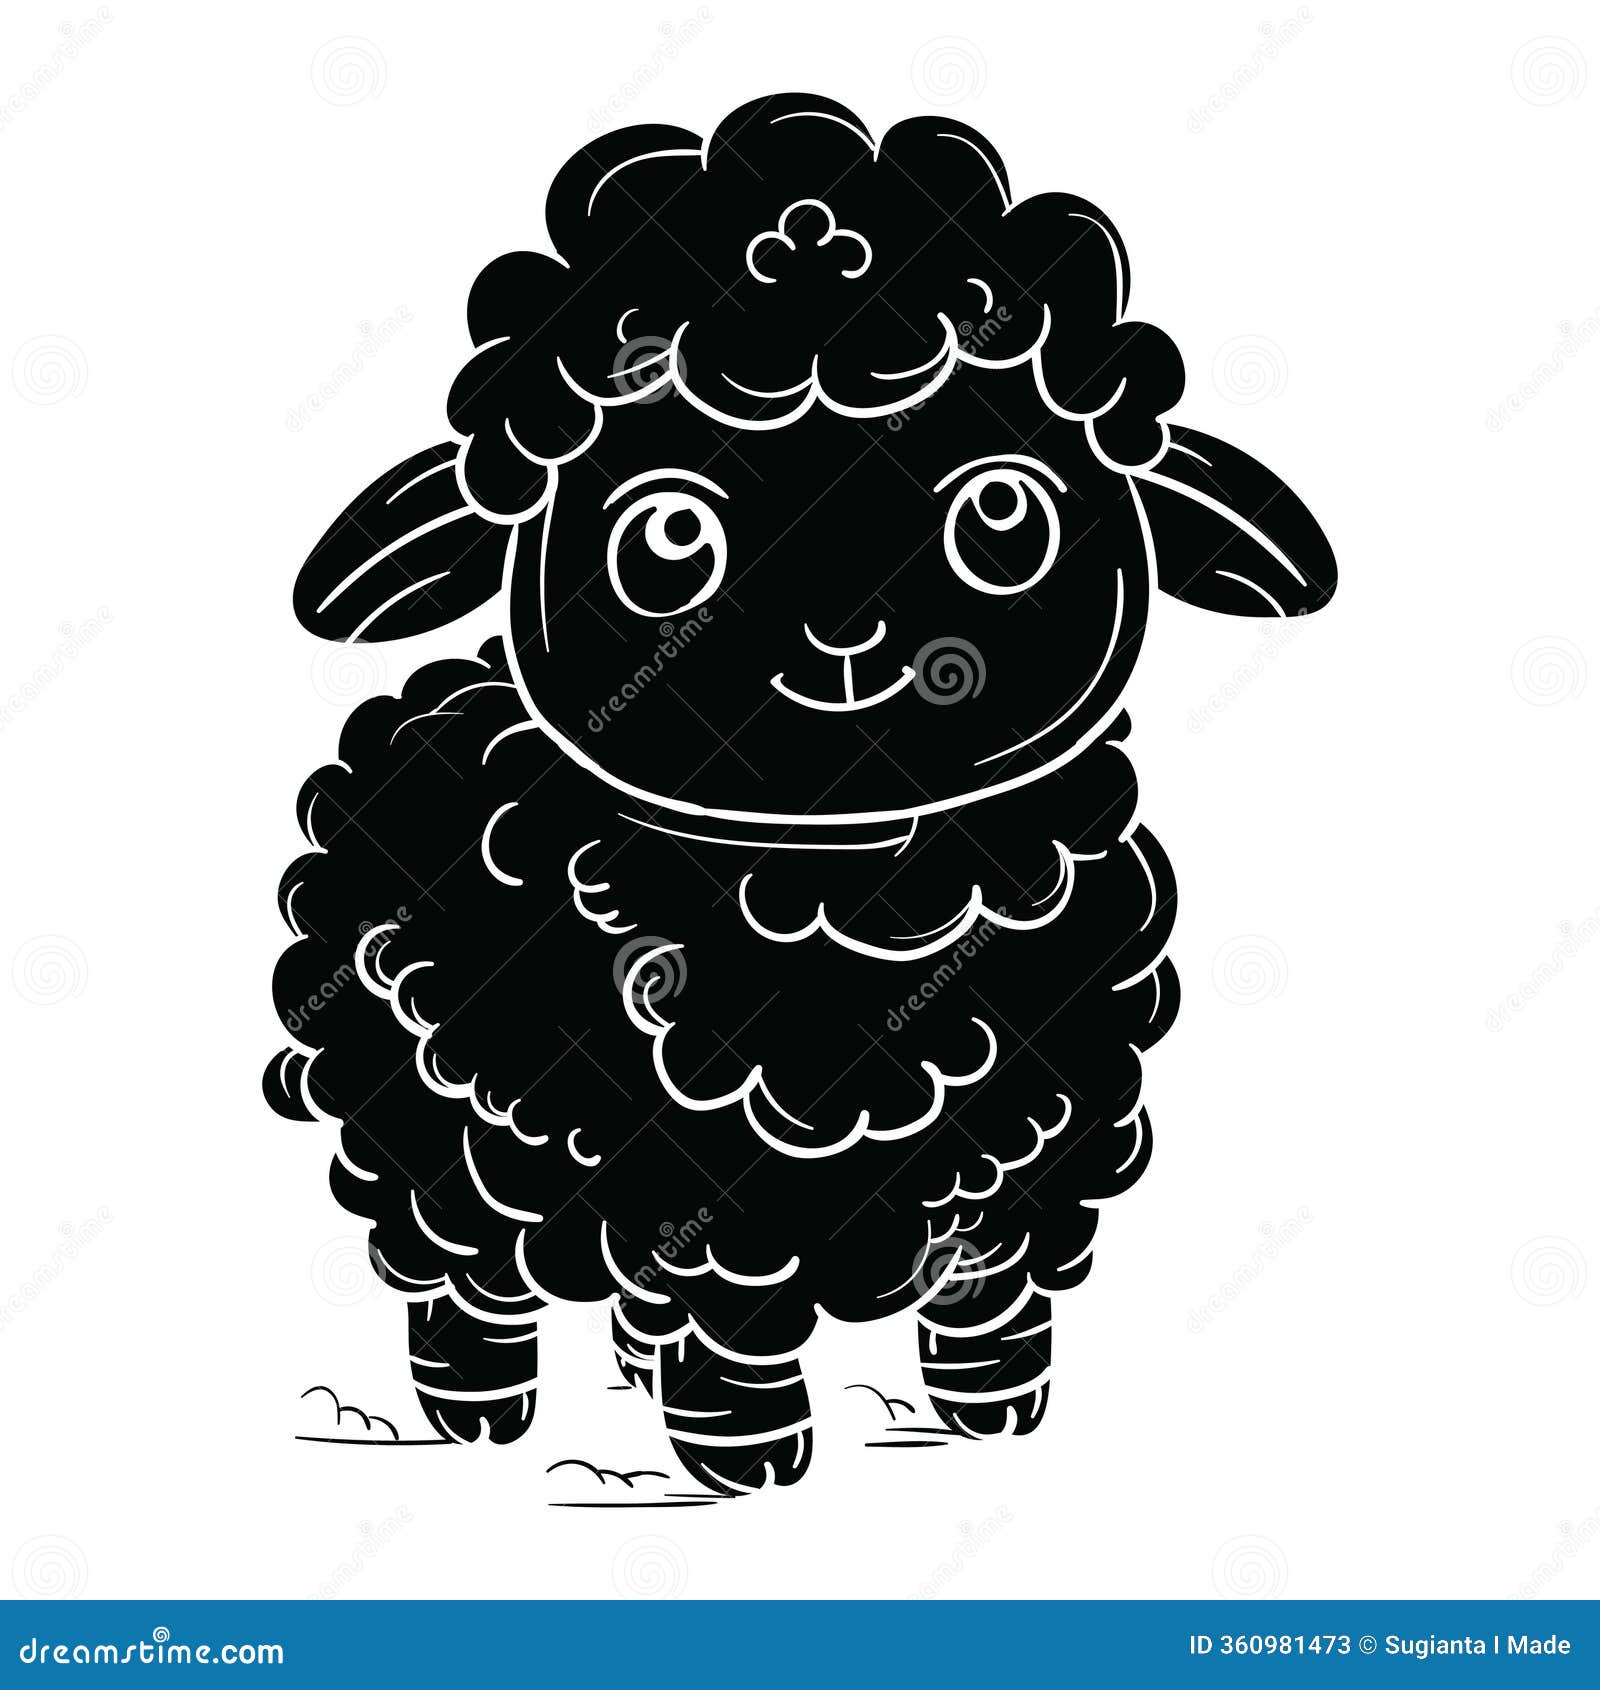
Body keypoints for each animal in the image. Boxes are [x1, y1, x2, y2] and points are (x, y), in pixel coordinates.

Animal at [266, 93, 1336, 1494]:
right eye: (669, 541)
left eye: (1004, 516)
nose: (846, 635)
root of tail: (434, 693)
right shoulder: (717, 1204)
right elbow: (738, 1336)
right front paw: (748, 1456)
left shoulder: (1029, 1159)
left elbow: (990, 1304)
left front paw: (996, 1414)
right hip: (432, 1148)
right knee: (462, 1289)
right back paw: (480, 1413)